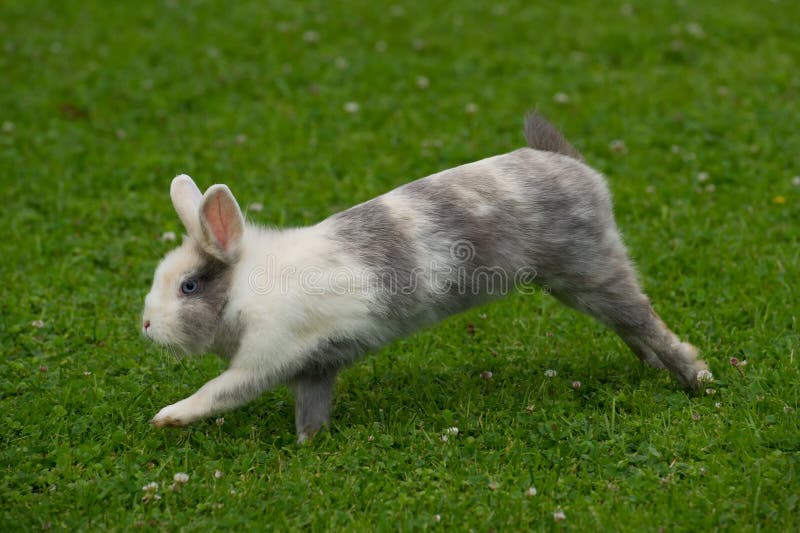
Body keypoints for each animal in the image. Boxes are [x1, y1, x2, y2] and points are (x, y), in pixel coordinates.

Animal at [142, 113, 711, 442]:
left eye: (190, 286)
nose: (146, 327)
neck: (245, 289)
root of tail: (573, 168)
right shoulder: (315, 368)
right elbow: (311, 414)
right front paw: (308, 449)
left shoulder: (266, 356)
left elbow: (219, 391)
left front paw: (168, 417)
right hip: (580, 283)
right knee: (631, 326)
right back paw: (655, 370)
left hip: (593, 269)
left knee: (649, 323)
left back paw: (698, 380)